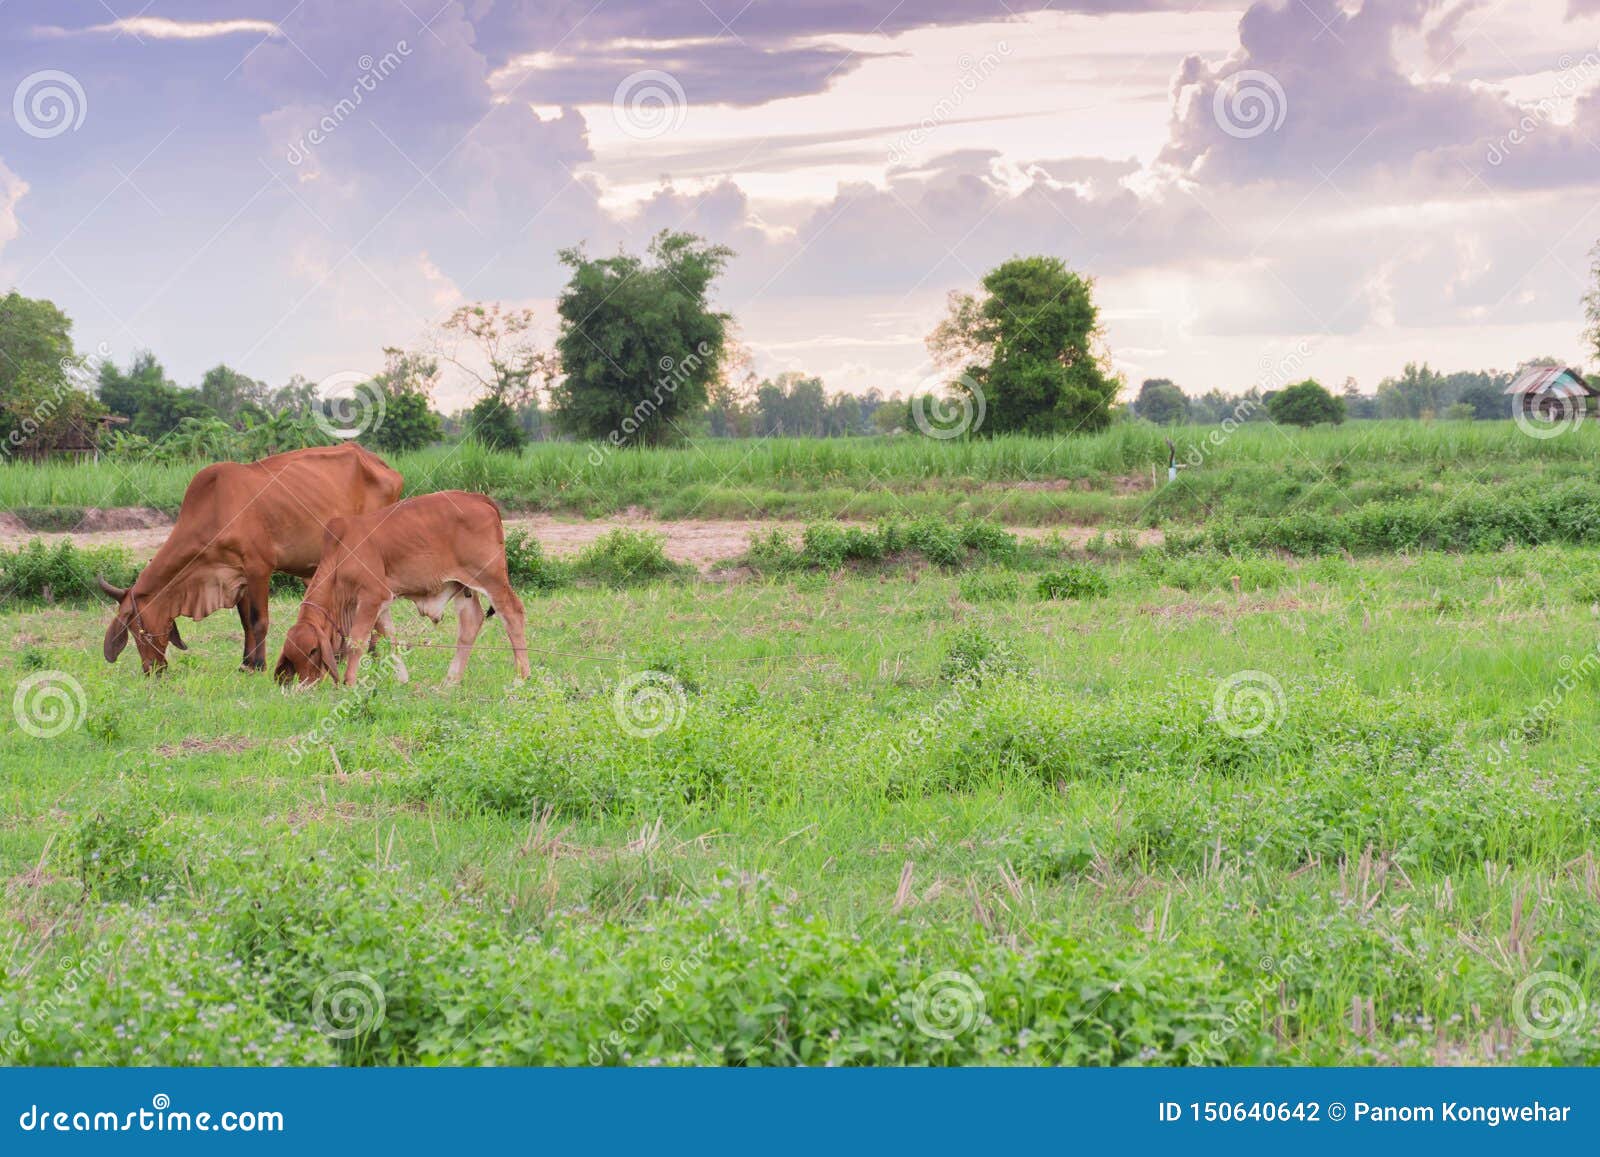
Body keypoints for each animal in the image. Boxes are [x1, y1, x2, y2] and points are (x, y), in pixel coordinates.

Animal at [98, 443, 403, 674]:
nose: (151, 669)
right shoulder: (237, 575)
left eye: (138, 629)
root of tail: (382, 464)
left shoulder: (259, 569)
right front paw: (246, 663)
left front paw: (258, 664)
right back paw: (342, 654)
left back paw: (372, 653)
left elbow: (259, 620)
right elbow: (245, 622)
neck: (214, 509)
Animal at [273, 490, 530, 688]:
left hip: (491, 578)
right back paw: (450, 681)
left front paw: (350, 682)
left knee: (512, 612)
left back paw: (522, 677)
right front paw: (403, 678)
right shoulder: (381, 602)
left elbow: (357, 641)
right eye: (293, 657)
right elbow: (390, 638)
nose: (306, 686)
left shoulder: (371, 597)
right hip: (463, 587)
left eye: (313, 651)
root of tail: (478, 497)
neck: (339, 554)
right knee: (471, 622)